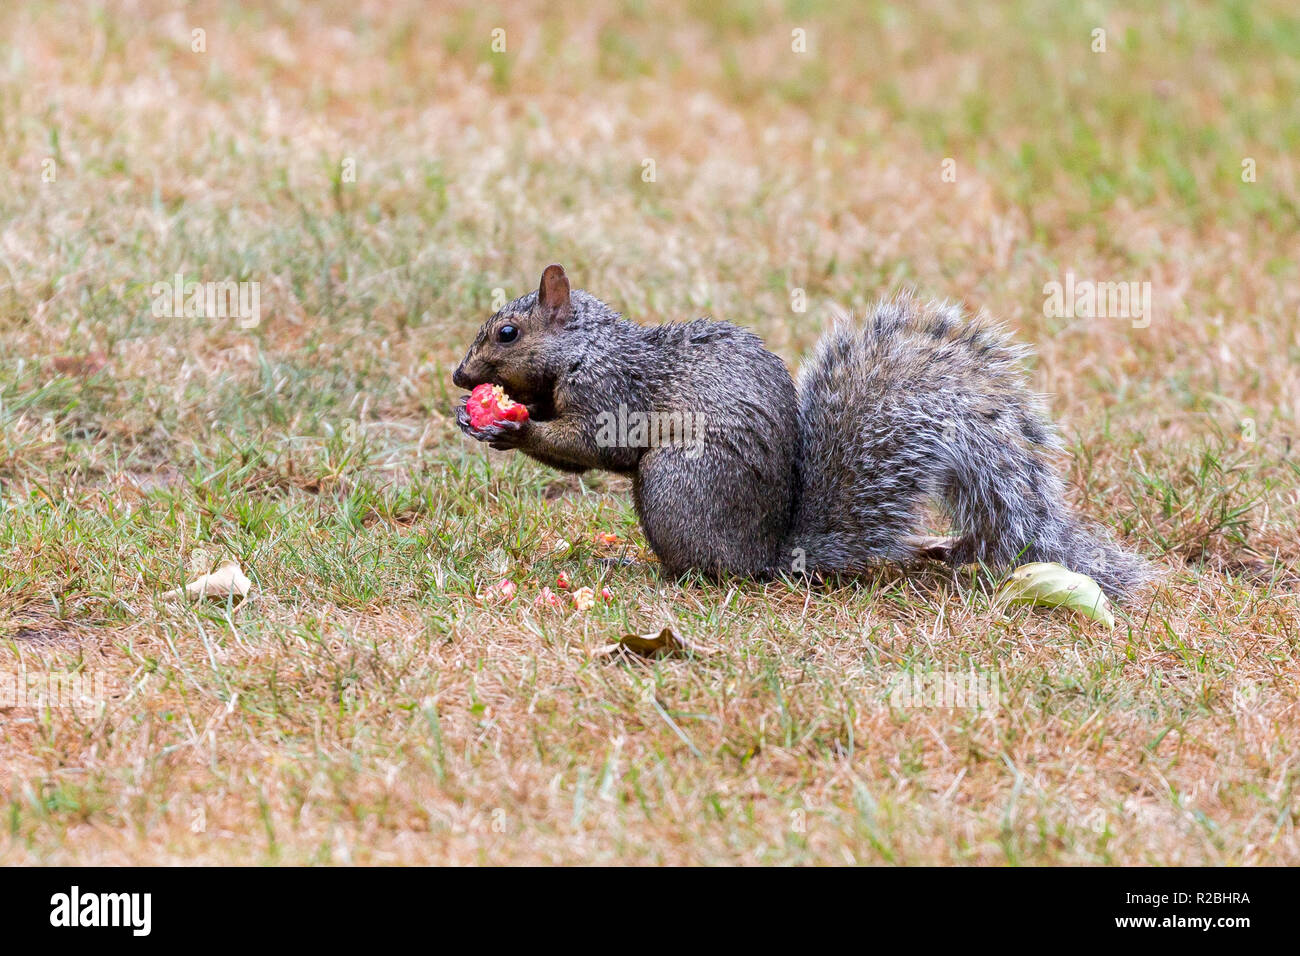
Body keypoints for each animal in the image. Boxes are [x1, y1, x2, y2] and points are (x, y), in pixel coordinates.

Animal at [452, 265, 1149, 599]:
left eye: (507, 333)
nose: (460, 376)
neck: (586, 348)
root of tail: (769, 557)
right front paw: (479, 414)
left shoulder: (612, 393)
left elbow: (592, 447)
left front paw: (511, 429)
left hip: (675, 487)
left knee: (704, 571)